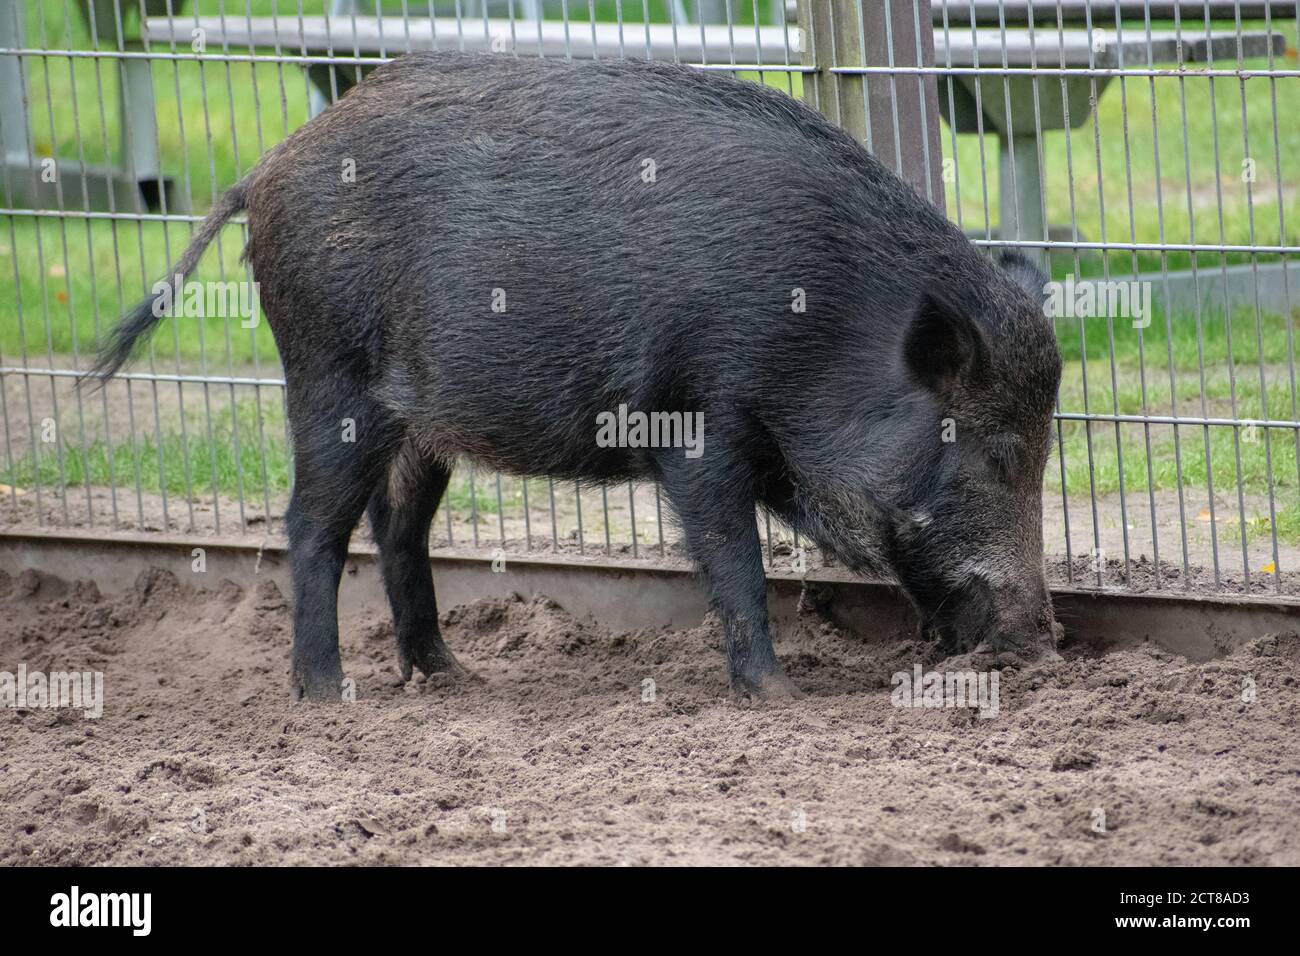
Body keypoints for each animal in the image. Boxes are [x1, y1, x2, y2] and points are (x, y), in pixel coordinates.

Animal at [89, 51, 1063, 701]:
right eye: (999, 455)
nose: (1045, 643)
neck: (823, 330)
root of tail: (262, 169)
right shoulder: (696, 420)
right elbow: (734, 558)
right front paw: (780, 698)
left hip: (418, 423)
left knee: (398, 530)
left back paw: (453, 678)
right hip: (327, 375)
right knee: (311, 526)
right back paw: (328, 696)